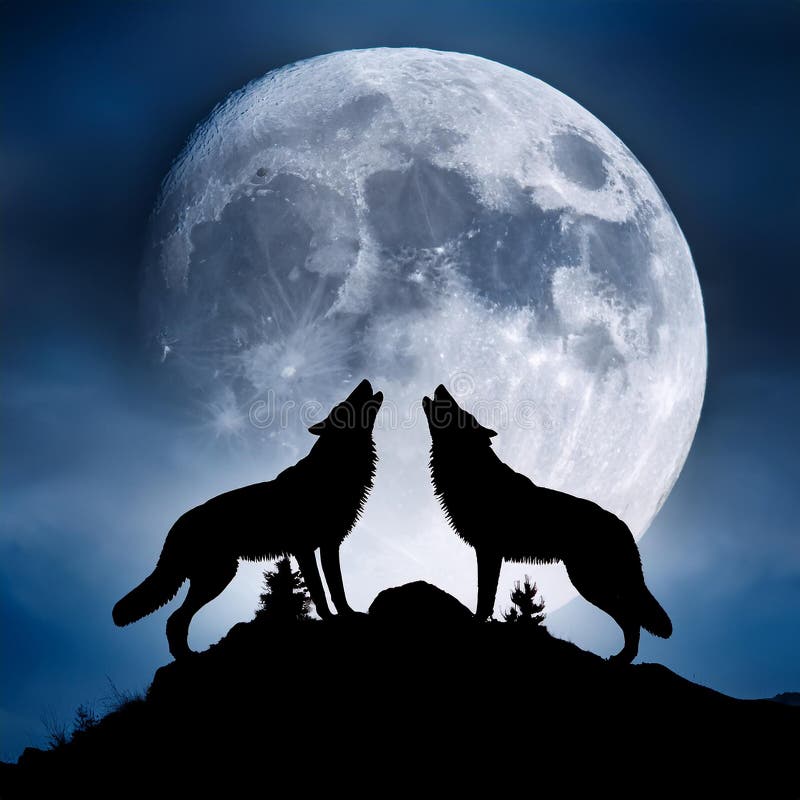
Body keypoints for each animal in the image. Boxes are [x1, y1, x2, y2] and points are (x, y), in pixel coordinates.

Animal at [113, 379, 383, 658]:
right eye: (343, 406)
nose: (365, 381)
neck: (331, 469)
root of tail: (175, 526)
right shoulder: (305, 549)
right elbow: (319, 590)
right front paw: (330, 620)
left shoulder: (330, 545)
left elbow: (337, 587)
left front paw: (348, 615)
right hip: (216, 578)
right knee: (175, 619)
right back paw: (187, 657)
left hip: (216, 576)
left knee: (176, 619)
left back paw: (186, 655)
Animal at [422, 384, 672, 663]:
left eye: (458, 410)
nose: (441, 387)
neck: (472, 470)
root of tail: (624, 527)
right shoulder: (487, 551)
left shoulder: (488, 551)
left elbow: (485, 596)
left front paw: (477, 623)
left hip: (590, 584)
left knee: (632, 620)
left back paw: (621, 659)